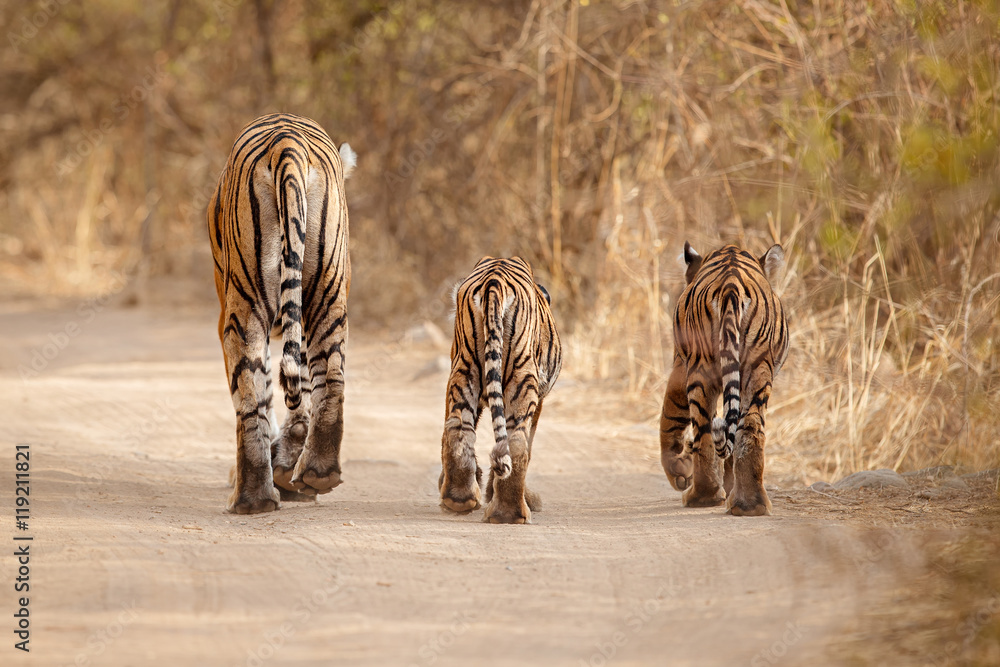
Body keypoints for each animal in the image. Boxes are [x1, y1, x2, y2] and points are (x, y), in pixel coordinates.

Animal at [208, 113, 356, 514]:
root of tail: (286, 142)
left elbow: (268, 396)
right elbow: (301, 386)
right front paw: (290, 466)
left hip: (244, 306)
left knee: (248, 395)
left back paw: (251, 498)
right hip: (328, 291)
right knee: (331, 376)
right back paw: (317, 472)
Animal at [438, 256, 562, 524]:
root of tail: (494, 278)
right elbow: (529, 443)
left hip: (465, 370)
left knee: (457, 428)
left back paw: (460, 499)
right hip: (521, 379)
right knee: (517, 442)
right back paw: (511, 512)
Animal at [659, 241, 788, 516]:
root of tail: (731, 284)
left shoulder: (680, 365)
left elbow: (669, 416)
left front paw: (679, 471)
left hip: (701, 368)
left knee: (704, 431)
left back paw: (701, 496)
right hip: (757, 369)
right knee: (749, 428)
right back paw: (749, 504)